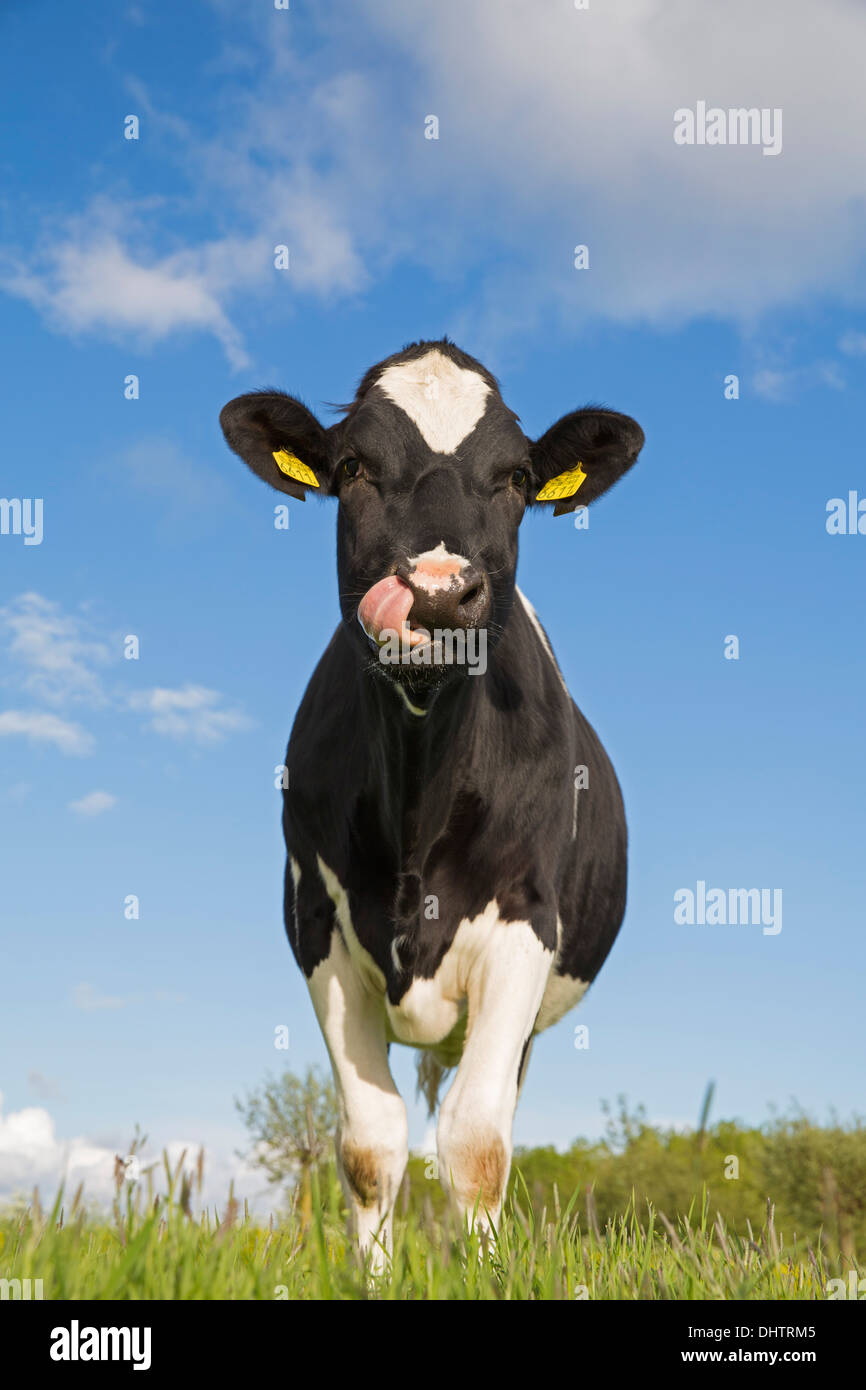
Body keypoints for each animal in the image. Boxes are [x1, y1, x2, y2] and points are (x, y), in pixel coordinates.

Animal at [219, 339, 644, 1268]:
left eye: (517, 477)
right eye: (351, 467)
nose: (441, 591)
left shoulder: (525, 923)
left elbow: (477, 1141)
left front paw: (486, 1273)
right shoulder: (320, 928)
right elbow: (370, 1145)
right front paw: (372, 1277)